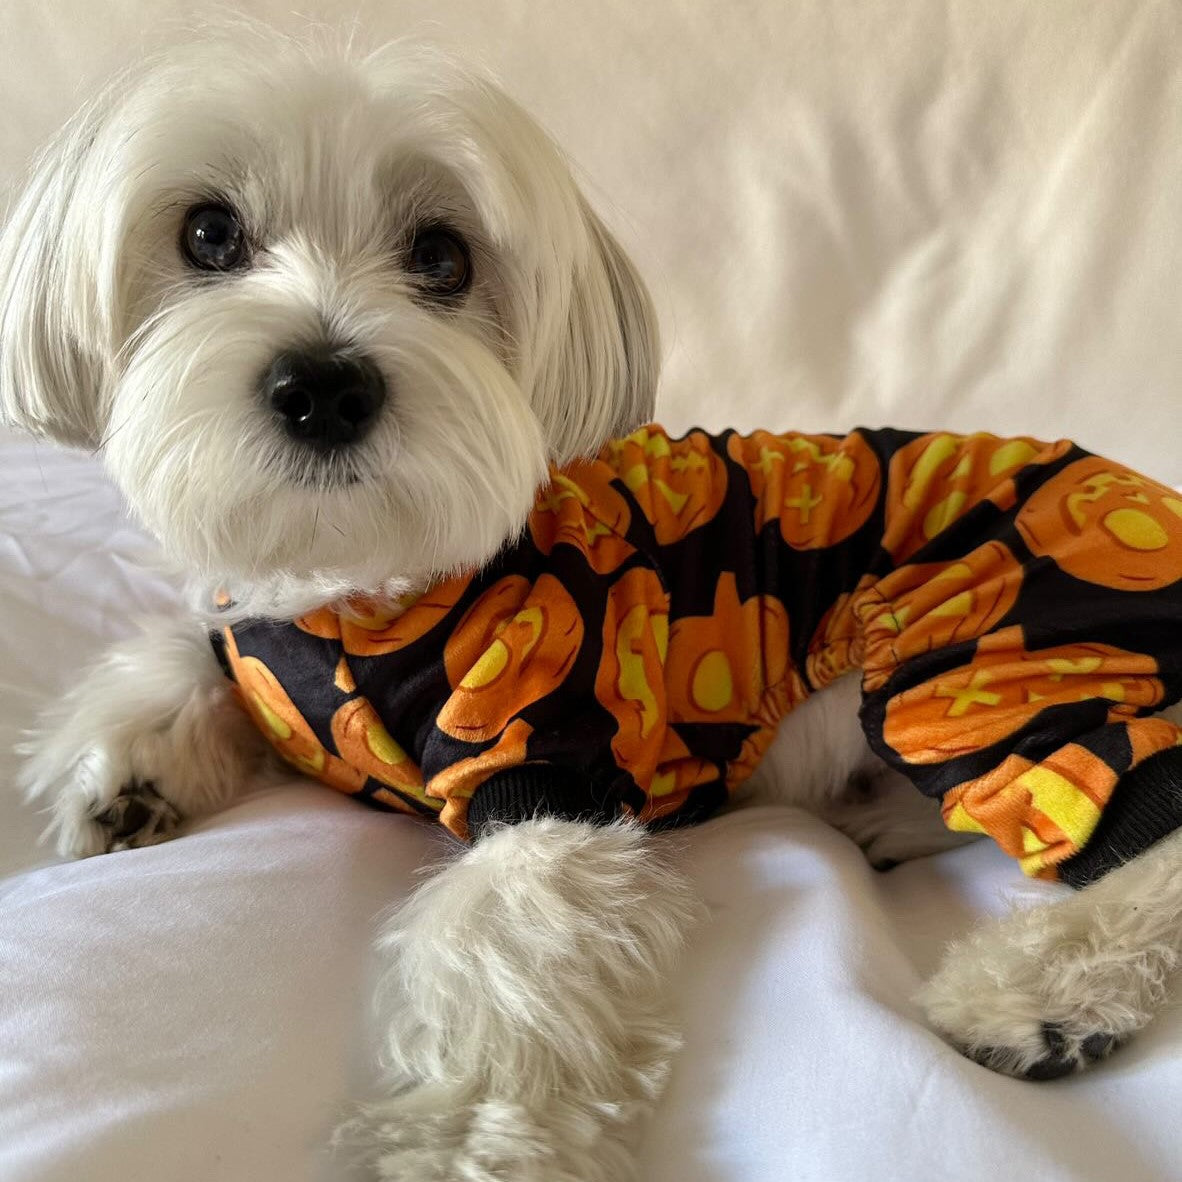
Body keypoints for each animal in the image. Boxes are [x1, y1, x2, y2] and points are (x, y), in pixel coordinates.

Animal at [4, 26, 1182, 1182]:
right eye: (208, 234)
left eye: (443, 256)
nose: (325, 385)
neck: (361, 588)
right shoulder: (265, 650)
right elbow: (191, 656)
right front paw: (126, 767)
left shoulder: (550, 759)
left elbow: (504, 946)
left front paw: (468, 1139)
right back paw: (887, 821)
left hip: (983, 641)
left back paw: (1041, 995)